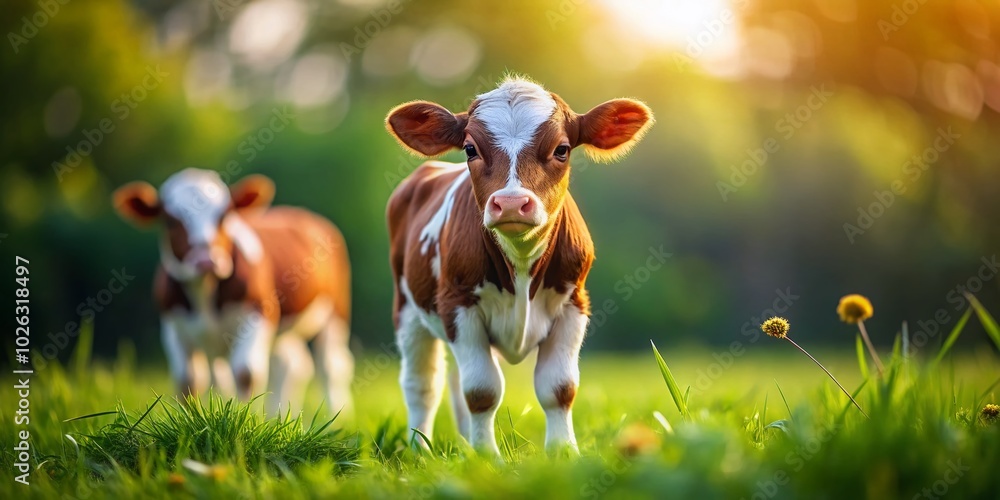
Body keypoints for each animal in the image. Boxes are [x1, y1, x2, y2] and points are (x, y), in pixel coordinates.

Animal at [112, 169, 354, 416]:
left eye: (224, 216)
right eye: (170, 221)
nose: (206, 260)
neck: (205, 292)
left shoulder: (258, 314)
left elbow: (245, 373)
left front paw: (246, 416)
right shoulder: (172, 326)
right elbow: (188, 380)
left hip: (336, 310)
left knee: (331, 365)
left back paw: (338, 415)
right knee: (290, 365)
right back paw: (279, 415)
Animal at [385, 76, 653, 456]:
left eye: (562, 149)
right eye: (470, 149)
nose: (511, 203)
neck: (522, 269)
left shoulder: (574, 305)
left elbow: (559, 387)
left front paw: (563, 452)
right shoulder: (458, 305)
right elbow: (481, 390)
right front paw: (486, 457)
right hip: (407, 308)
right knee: (422, 383)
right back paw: (419, 449)